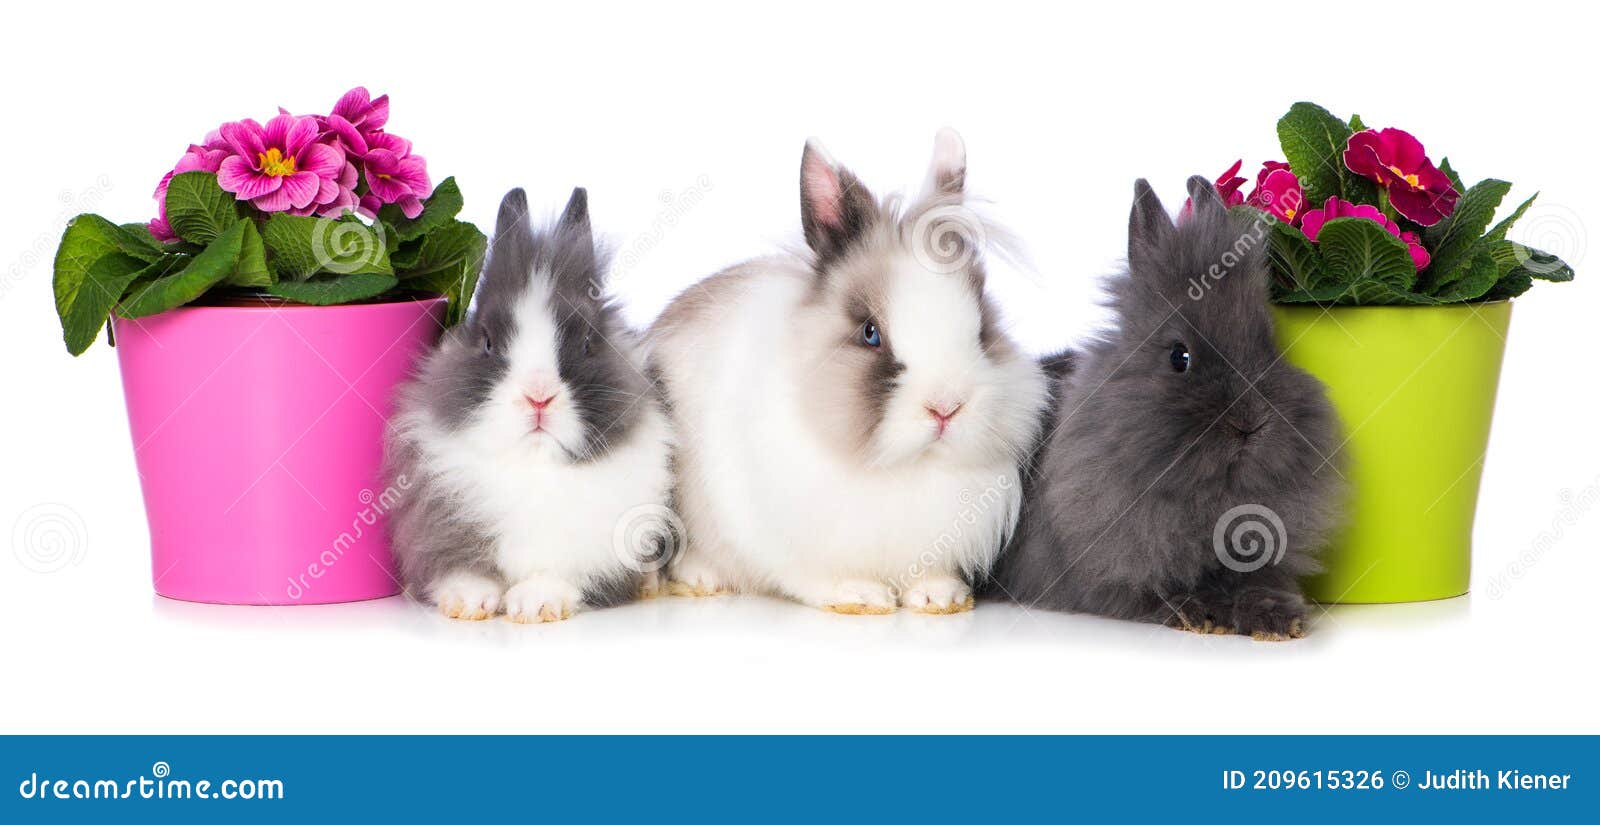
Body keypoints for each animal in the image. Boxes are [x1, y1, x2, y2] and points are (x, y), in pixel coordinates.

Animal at [383, 187, 674, 622]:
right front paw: (466, 601)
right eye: (488, 341)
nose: (539, 395)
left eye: (587, 342)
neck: (534, 467)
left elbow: (561, 574)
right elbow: (463, 568)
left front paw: (536, 603)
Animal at [648, 129, 1048, 614]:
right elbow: (813, 576)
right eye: (870, 333)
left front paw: (939, 596)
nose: (945, 407)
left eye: (982, 328)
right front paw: (860, 595)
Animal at [986, 176, 1345, 640]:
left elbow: (1257, 584)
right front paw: (1197, 613)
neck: (1210, 496)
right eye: (1179, 356)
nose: (1250, 424)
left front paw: (1278, 620)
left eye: (1270, 345)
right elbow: (1153, 592)